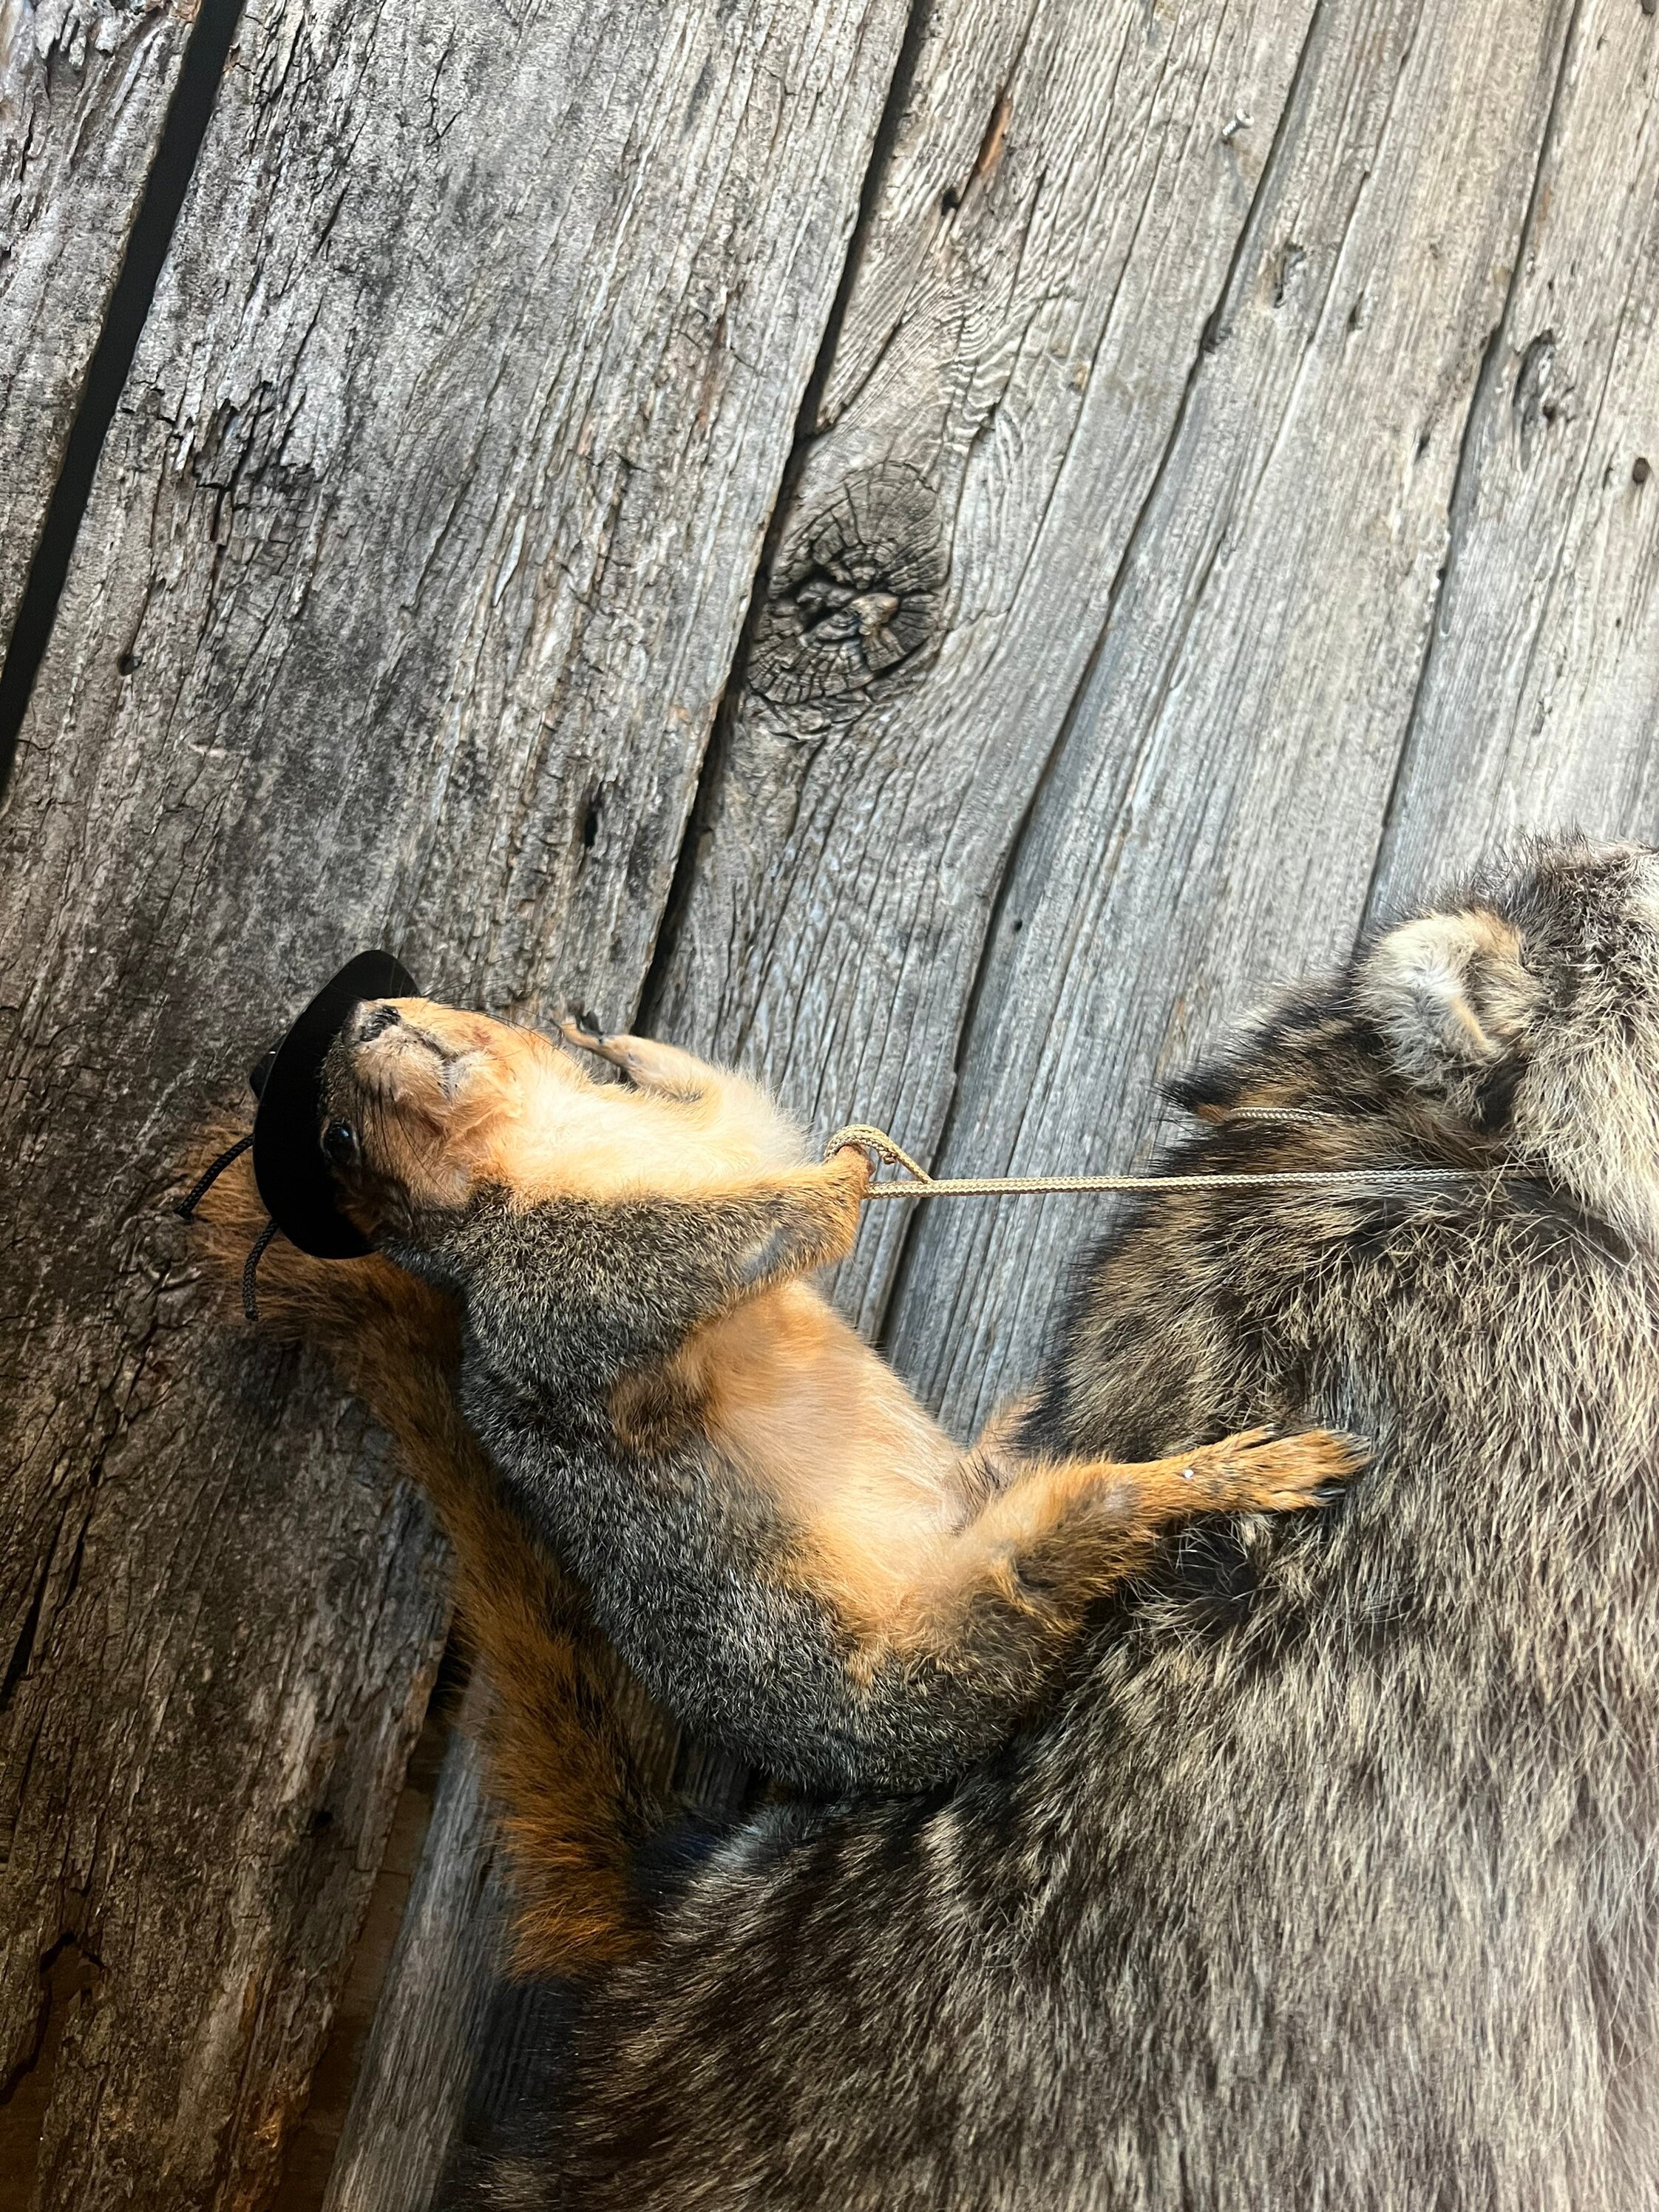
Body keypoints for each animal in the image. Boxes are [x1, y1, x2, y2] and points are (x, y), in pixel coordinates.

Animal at [194, 1006, 1355, 1978]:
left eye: (431, 996)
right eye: (340, 1142)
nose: (372, 1016)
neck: (557, 1139)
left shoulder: (717, 1143)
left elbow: (732, 1102)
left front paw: (613, 1041)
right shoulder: (555, 1289)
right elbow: (698, 1251)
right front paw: (834, 1185)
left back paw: (1016, 1428)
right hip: (946, 1650)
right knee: (1077, 1540)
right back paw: (1227, 1474)